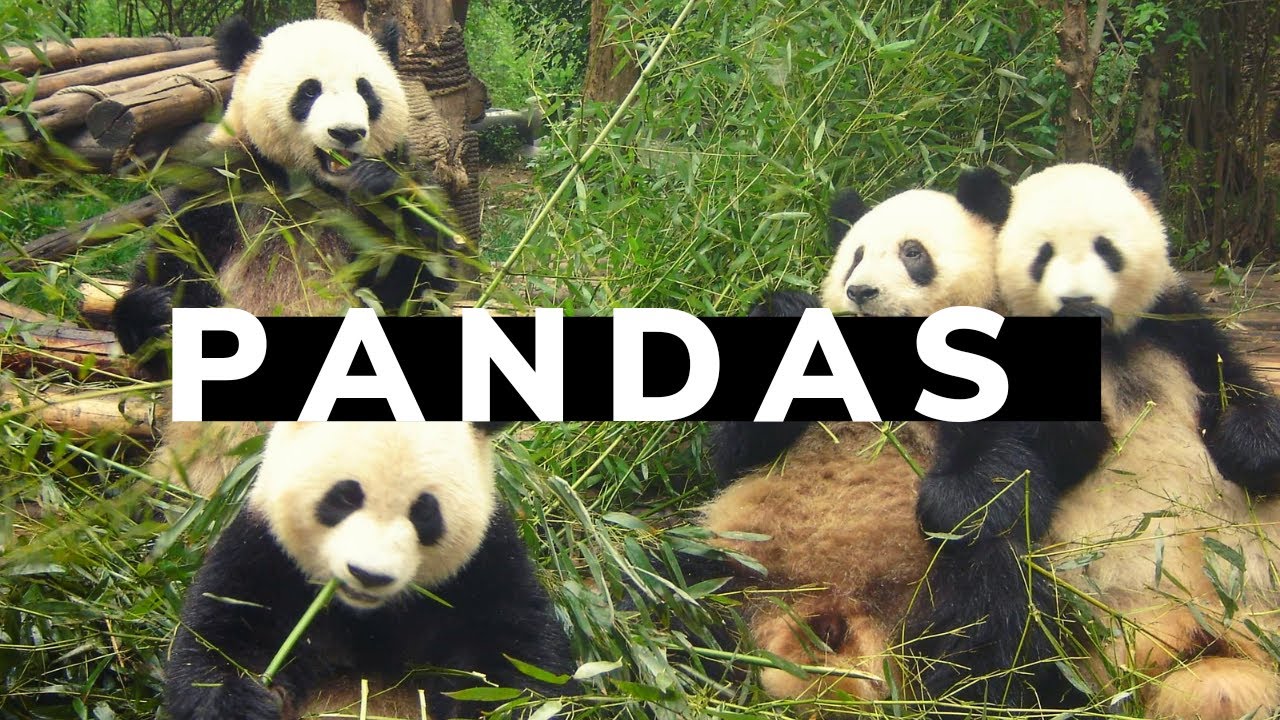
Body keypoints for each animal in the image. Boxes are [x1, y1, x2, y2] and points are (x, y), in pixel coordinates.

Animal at [112, 17, 458, 497]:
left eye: (365, 90)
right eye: (309, 91)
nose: (347, 133)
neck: (311, 188)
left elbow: (421, 286)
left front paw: (376, 185)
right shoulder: (222, 194)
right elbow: (168, 282)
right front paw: (160, 311)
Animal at [164, 421, 577, 720]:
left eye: (424, 512)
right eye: (346, 496)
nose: (369, 575)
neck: (365, 616)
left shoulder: (482, 569)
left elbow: (517, 661)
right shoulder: (263, 558)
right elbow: (217, 642)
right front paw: (251, 700)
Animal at [696, 167, 1011, 701]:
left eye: (913, 252)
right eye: (855, 257)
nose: (861, 291)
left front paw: (946, 503)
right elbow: (732, 453)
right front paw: (788, 309)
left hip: (937, 590)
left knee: (993, 623)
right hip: (728, 557)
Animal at [911, 151, 1280, 718]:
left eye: (1107, 248)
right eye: (1042, 256)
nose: (1078, 303)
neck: (1102, 348)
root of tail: (1180, 644)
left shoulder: (1179, 331)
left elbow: (1240, 393)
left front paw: (1248, 447)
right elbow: (972, 480)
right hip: (1068, 608)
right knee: (997, 602)